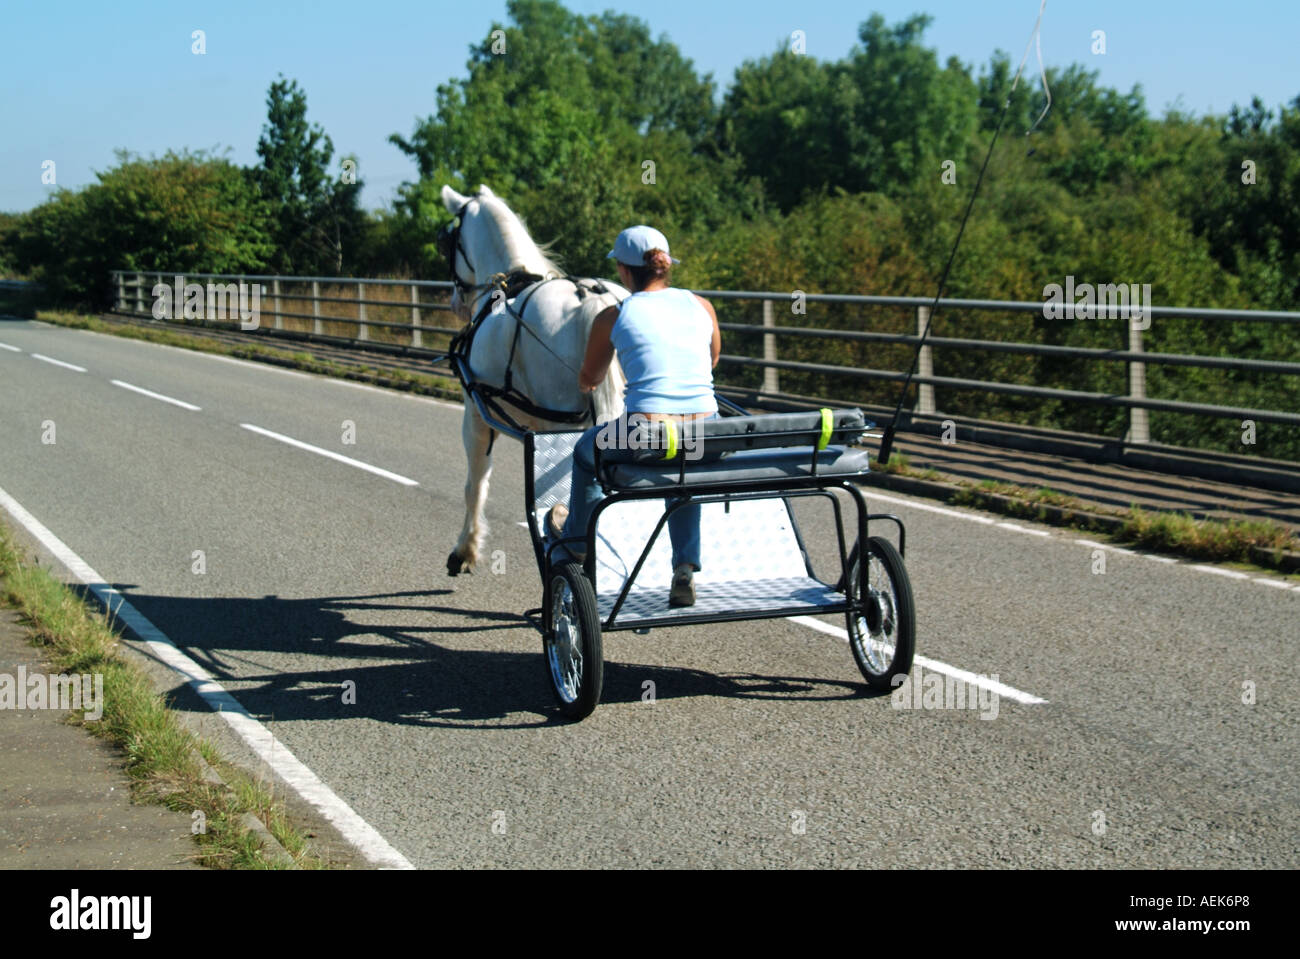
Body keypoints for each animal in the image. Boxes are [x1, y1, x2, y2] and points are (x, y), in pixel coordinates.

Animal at [439, 184, 628, 575]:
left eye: (446, 241)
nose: (454, 303)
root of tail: (598, 303)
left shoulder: (476, 416)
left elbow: (475, 484)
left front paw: (465, 550)